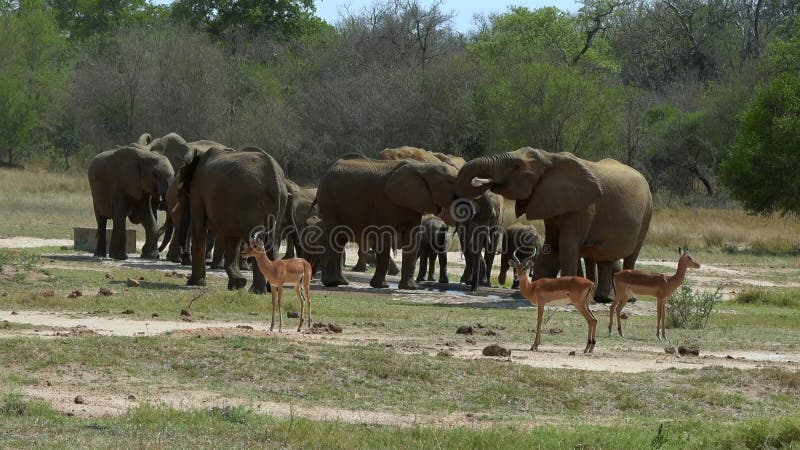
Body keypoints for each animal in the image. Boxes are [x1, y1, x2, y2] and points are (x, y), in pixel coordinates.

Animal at [179, 146, 289, 292]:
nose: (185, 256)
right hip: (280, 201)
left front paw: (194, 283)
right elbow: (232, 239)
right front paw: (238, 284)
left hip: (252, 202)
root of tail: (274, 176)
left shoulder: (198, 190)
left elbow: (199, 227)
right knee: (272, 242)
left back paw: (256, 291)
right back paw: (270, 289)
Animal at [317, 154, 459, 290]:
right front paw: (381, 286)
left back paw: (342, 282)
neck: (425, 167)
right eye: (450, 181)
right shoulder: (383, 201)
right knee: (335, 236)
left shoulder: (413, 203)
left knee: (341, 239)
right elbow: (384, 236)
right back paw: (332, 283)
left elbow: (412, 239)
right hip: (328, 200)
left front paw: (410, 288)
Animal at [457, 148, 652, 302]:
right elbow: (552, 246)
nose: (488, 184)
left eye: (517, 167)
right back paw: (603, 299)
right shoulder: (550, 201)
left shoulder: (583, 207)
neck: (549, 157)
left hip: (648, 212)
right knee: (605, 255)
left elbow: (567, 246)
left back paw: (627, 299)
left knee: (631, 255)